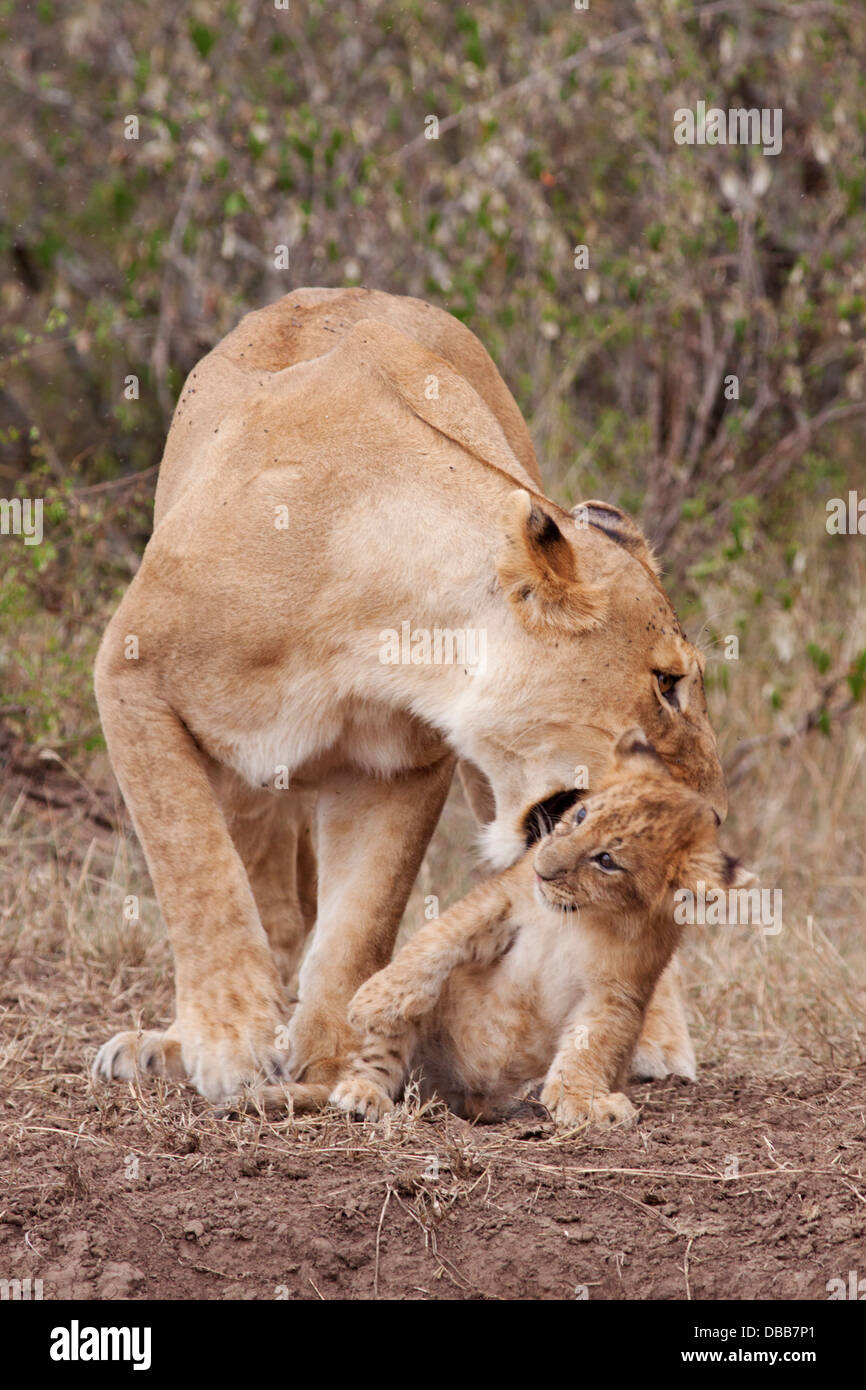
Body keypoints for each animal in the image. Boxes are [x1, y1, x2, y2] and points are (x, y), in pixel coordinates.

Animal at [92, 288, 727, 1103]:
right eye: (666, 683)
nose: (711, 809)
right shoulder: (132, 676)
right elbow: (194, 868)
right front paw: (229, 1044)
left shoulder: (400, 763)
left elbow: (361, 920)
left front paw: (335, 1063)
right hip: (245, 781)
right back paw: (168, 1046)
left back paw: (655, 1043)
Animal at [266, 728, 749, 1126]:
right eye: (580, 815)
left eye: (607, 861)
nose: (543, 868)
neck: (578, 919)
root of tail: (447, 1094)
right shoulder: (501, 902)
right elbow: (439, 938)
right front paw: (377, 997)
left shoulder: (619, 987)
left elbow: (593, 1043)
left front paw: (583, 1102)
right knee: (376, 1062)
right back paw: (363, 1094)